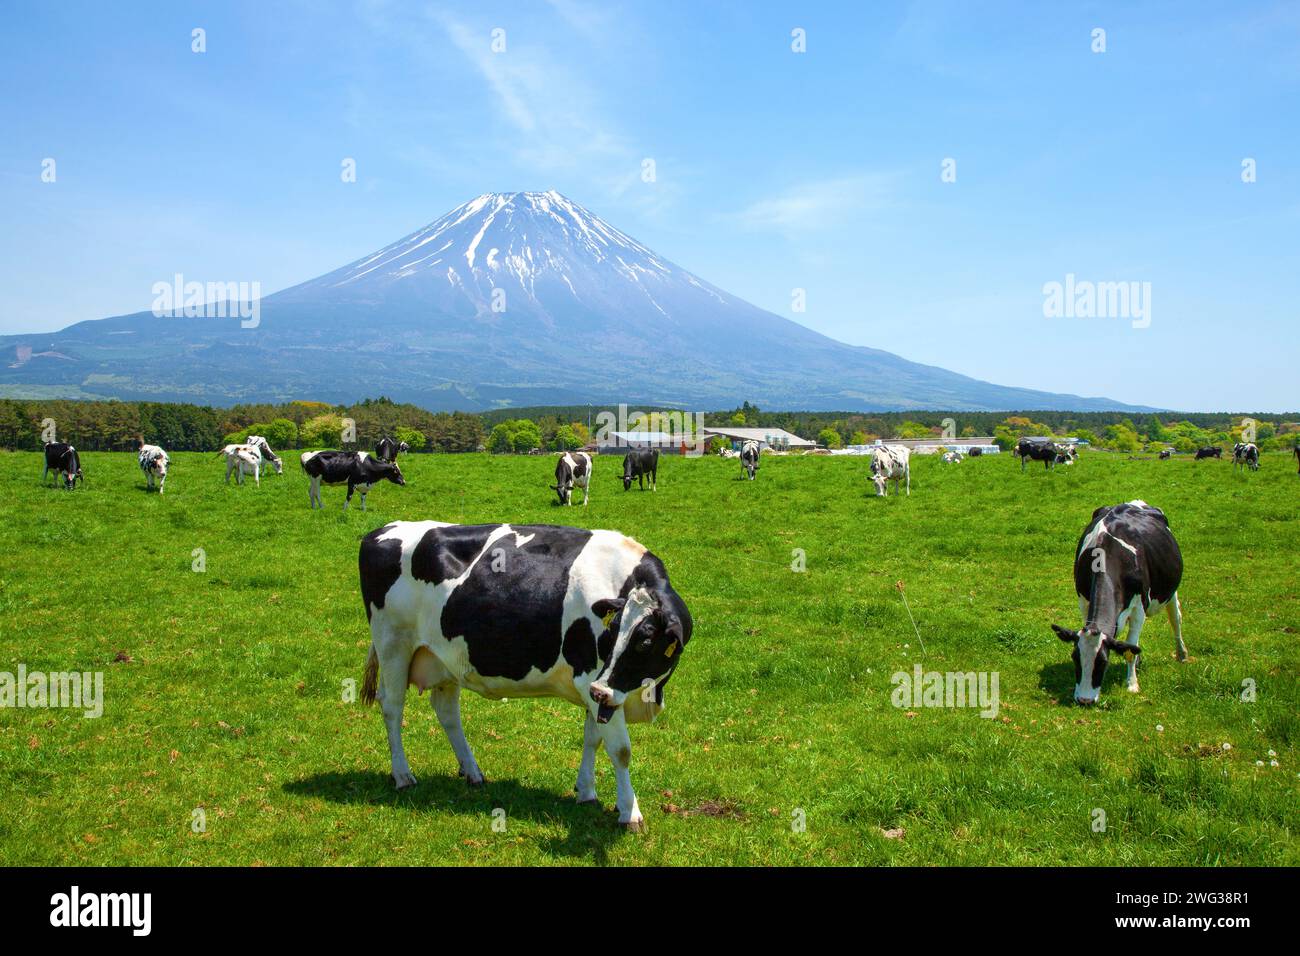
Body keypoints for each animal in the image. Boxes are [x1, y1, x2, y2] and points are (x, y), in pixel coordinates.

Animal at [358, 521, 692, 831]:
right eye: (611, 631)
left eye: (645, 641)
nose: (603, 690)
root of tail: (381, 530)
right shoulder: (591, 678)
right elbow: (620, 749)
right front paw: (630, 812)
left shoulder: (596, 687)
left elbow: (592, 738)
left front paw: (586, 791)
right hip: (392, 643)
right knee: (392, 706)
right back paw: (403, 775)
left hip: (445, 656)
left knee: (447, 711)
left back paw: (472, 772)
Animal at [1051, 500, 1186, 706]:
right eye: (1075, 658)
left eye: (1103, 661)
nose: (1084, 700)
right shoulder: (1084, 602)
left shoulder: (1139, 608)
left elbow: (1130, 649)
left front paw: (1132, 684)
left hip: (1170, 590)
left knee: (1175, 618)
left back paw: (1181, 654)